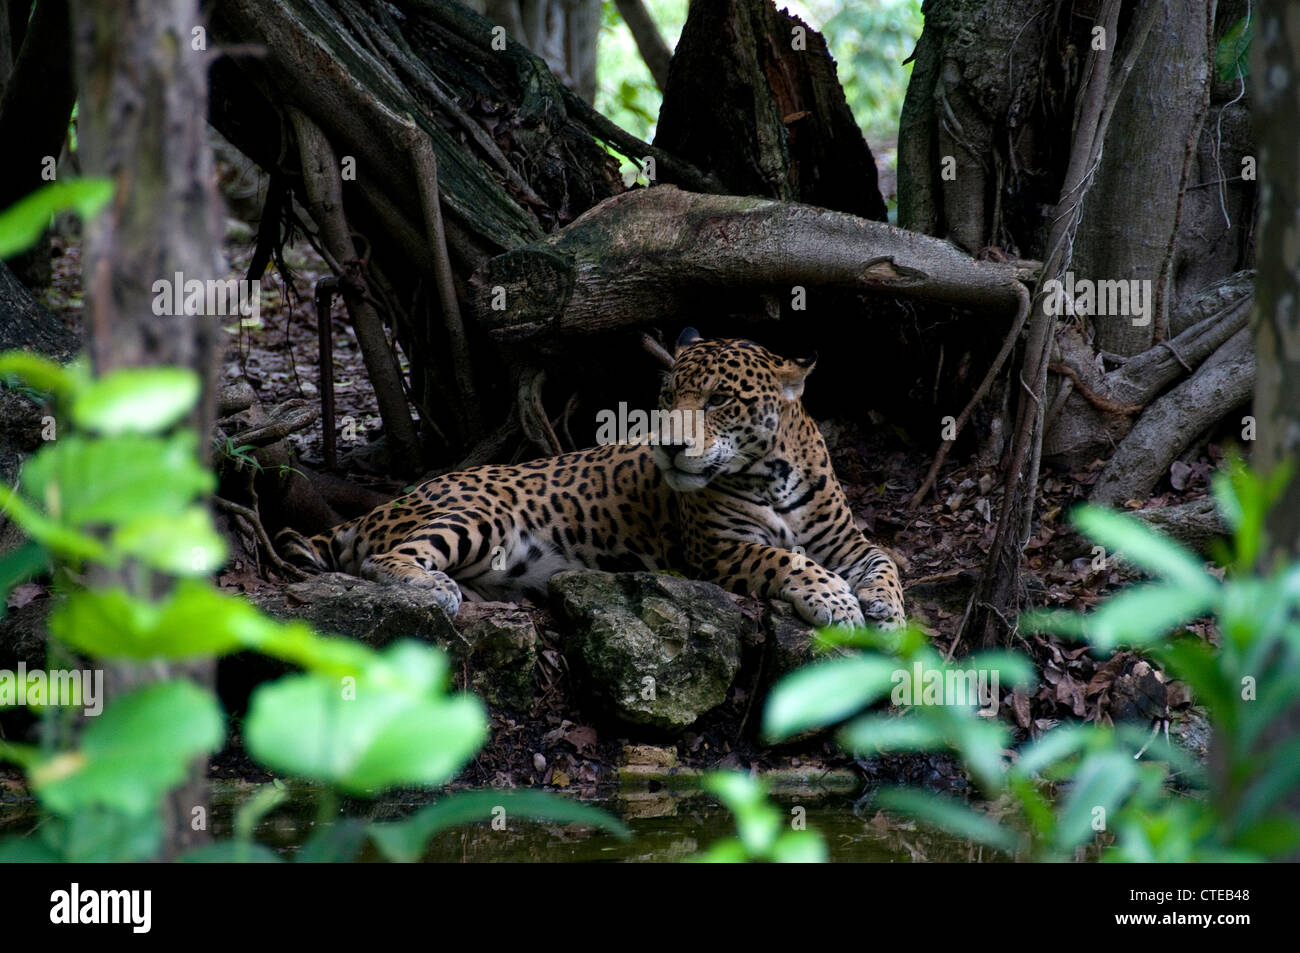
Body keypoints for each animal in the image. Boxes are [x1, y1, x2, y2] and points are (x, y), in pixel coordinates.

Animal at [276, 329, 906, 630]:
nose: (668, 446)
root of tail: (376, 509)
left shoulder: (848, 541)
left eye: (719, 400)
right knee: (382, 560)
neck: (772, 475)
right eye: (667, 396)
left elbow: (886, 564)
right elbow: (787, 559)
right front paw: (838, 602)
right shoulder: (719, 551)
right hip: (479, 513)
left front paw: (887, 611)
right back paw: (431, 587)